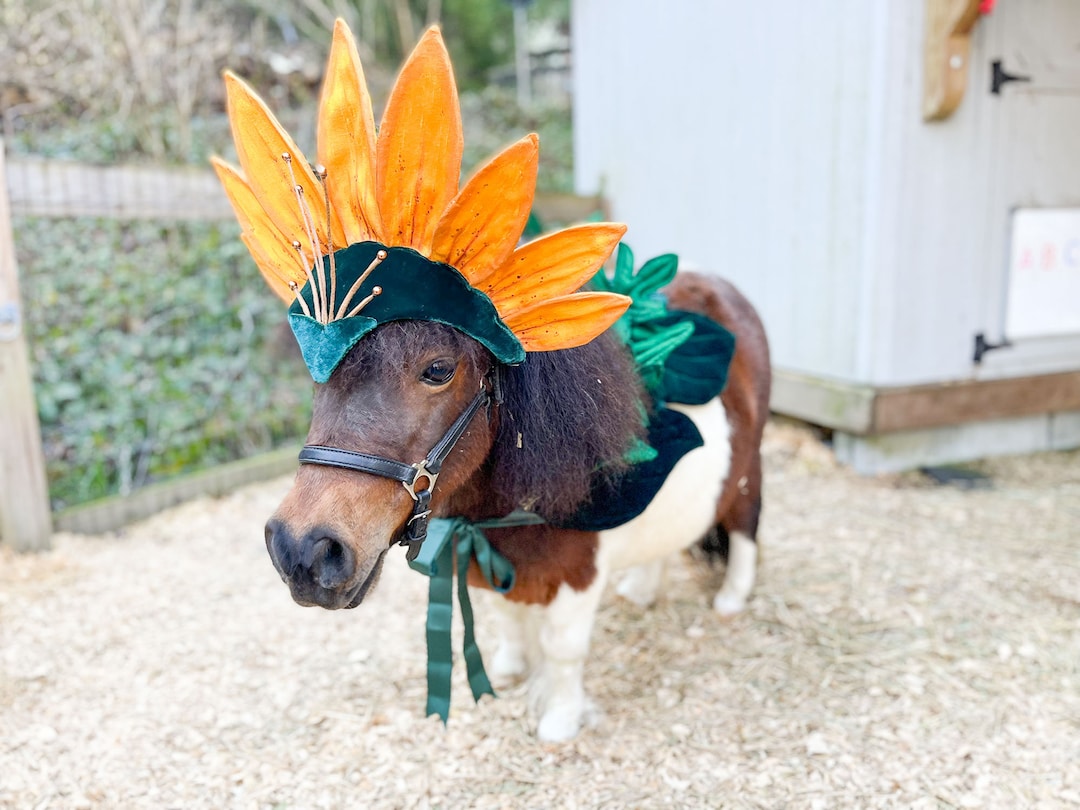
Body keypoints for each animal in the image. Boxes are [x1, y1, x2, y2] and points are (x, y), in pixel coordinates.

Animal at [263, 267, 771, 742]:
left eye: (438, 370)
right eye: (318, 374)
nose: (301, 550)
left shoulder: (579, 578)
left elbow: (563, 650)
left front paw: (559, 722)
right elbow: (508, 618)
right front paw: (511, 670)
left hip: (747, 471)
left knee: (746, 525)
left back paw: (731, 598)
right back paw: (643, 590)